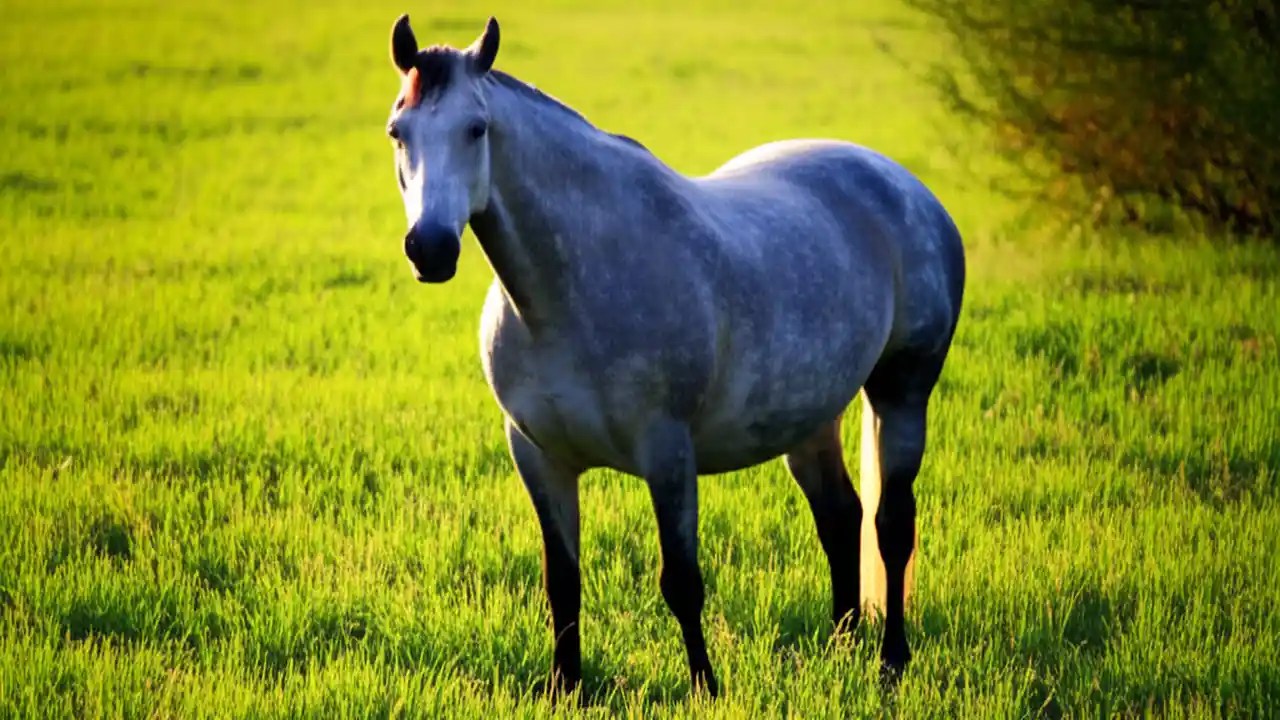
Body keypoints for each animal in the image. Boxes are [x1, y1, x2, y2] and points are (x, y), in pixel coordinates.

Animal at [383, 14, 964, 697]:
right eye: (398, 131)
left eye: (476, 129)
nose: (430, 249)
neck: (569, 290)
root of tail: (906, 186)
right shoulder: (538, 455)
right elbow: (562, 583)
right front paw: (565, 688)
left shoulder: (667, 454)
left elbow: (682, 582)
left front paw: (707, 688)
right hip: (810, 416)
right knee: (841, 517)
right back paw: (842, 647)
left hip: (902, 393)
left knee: (891, 525)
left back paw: (890, 662)